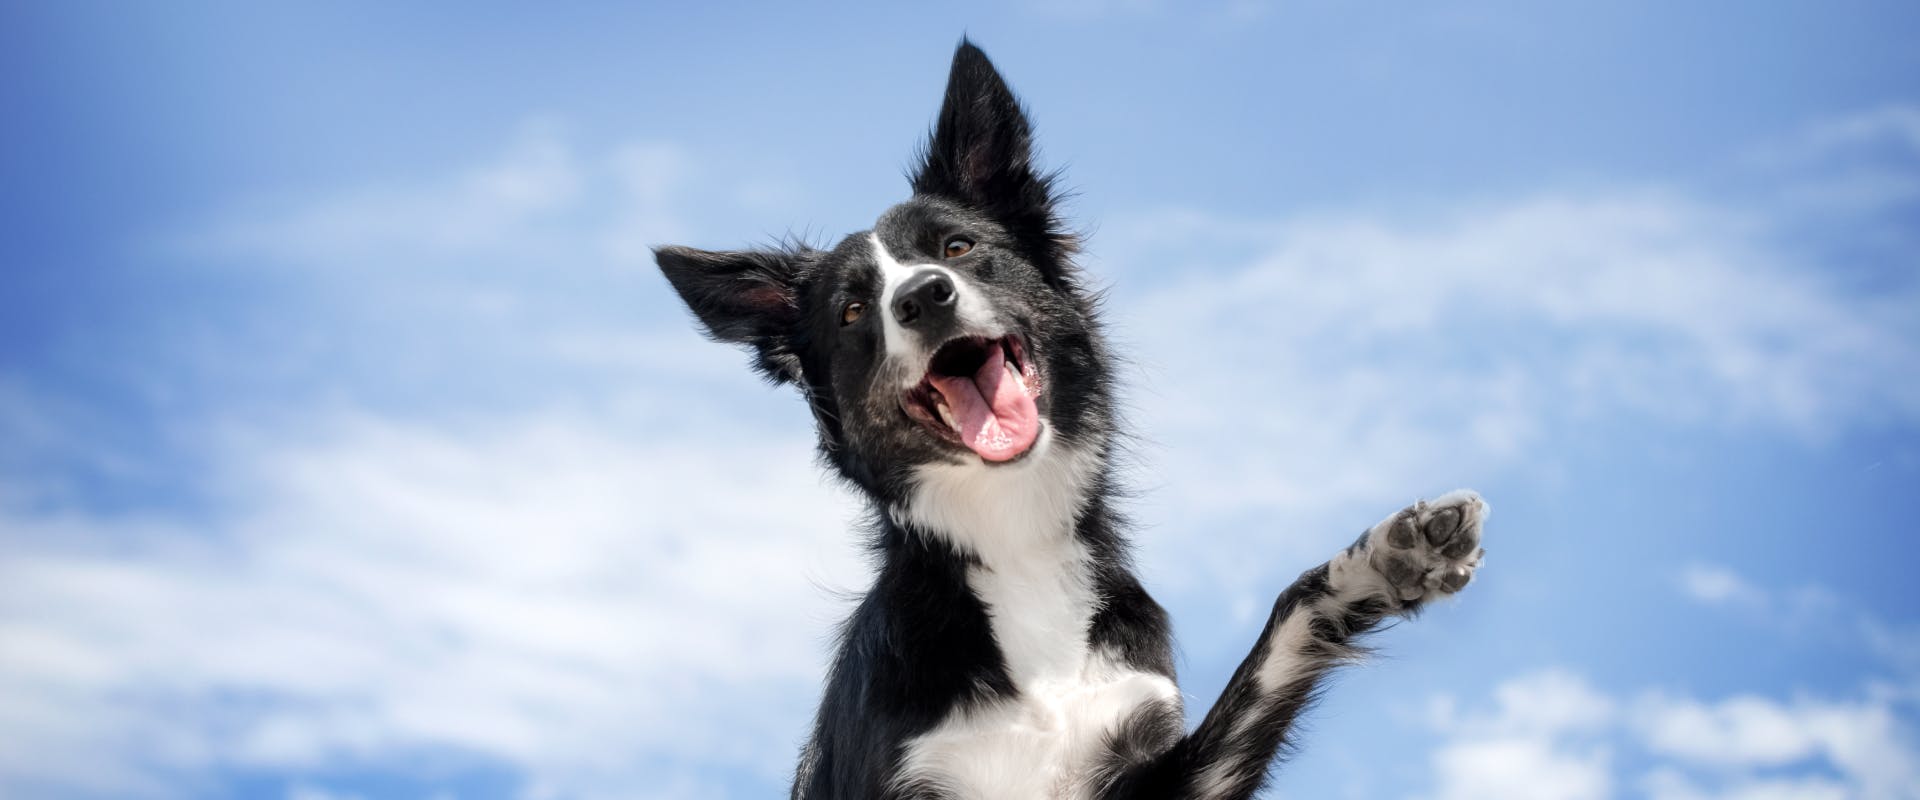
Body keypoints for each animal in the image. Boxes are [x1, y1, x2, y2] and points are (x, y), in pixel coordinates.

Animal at [652, 38, 1489, 798]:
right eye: (854, 311)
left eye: (958, 247)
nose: (923, 296)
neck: (1014, 540)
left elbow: (1278, 639)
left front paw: (1389, 558)